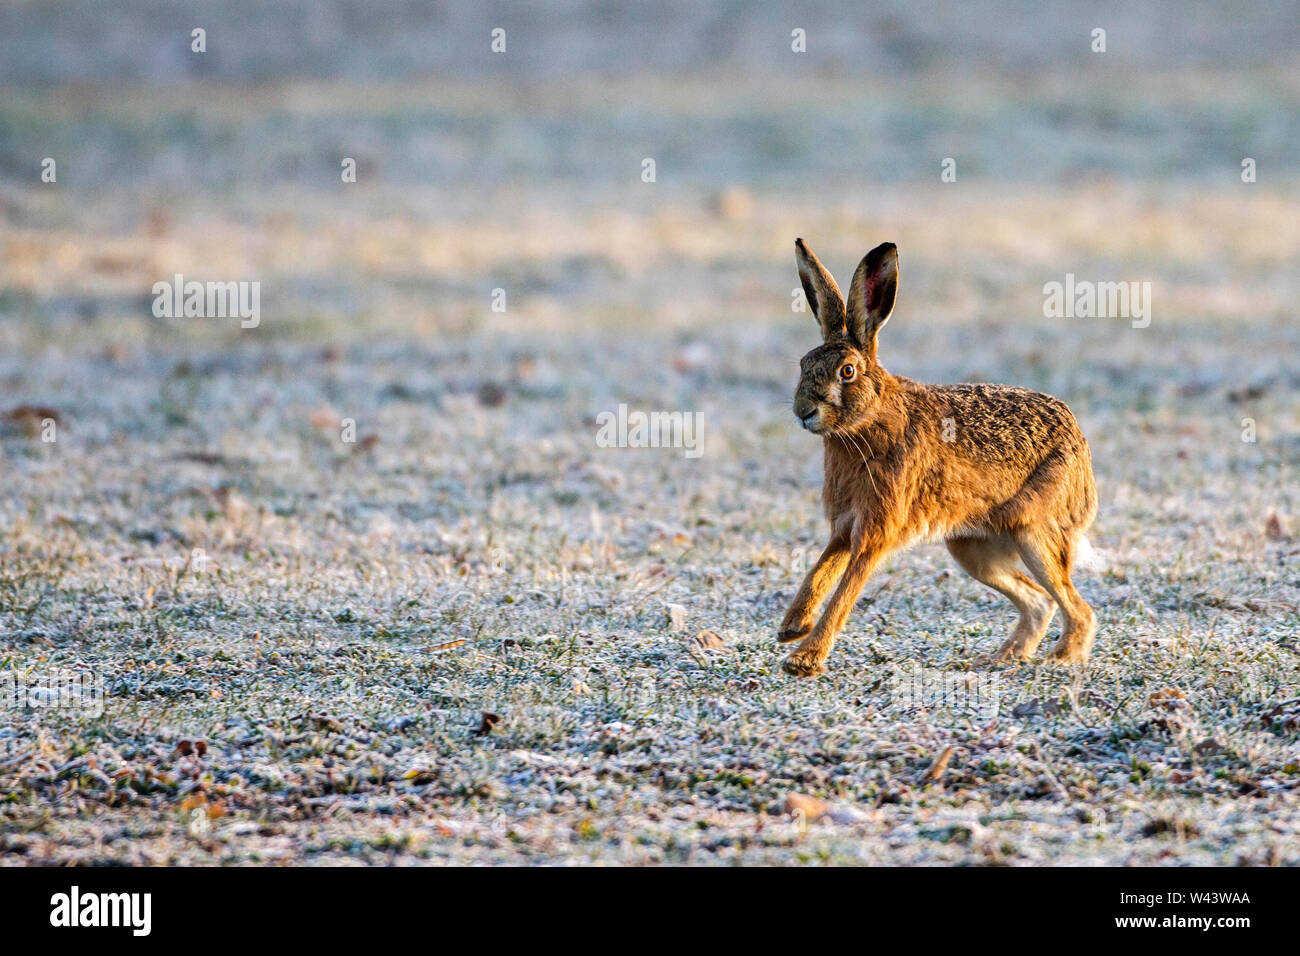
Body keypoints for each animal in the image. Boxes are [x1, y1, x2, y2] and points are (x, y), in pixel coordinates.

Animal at [779, 238, 1098, 677]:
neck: (867, 423)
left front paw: (803, 659)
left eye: (847, 371)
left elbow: (845, 591)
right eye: (803, 364)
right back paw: (999, 658)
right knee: (1039, 600)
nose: (804, 411)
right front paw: (792, 628)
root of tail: (1082, 451)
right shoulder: (845, 526)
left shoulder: (876, 529)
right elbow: (819, 570)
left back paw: (1062, 658)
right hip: (972, 550)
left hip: (1034, 533)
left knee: (1076, 605)